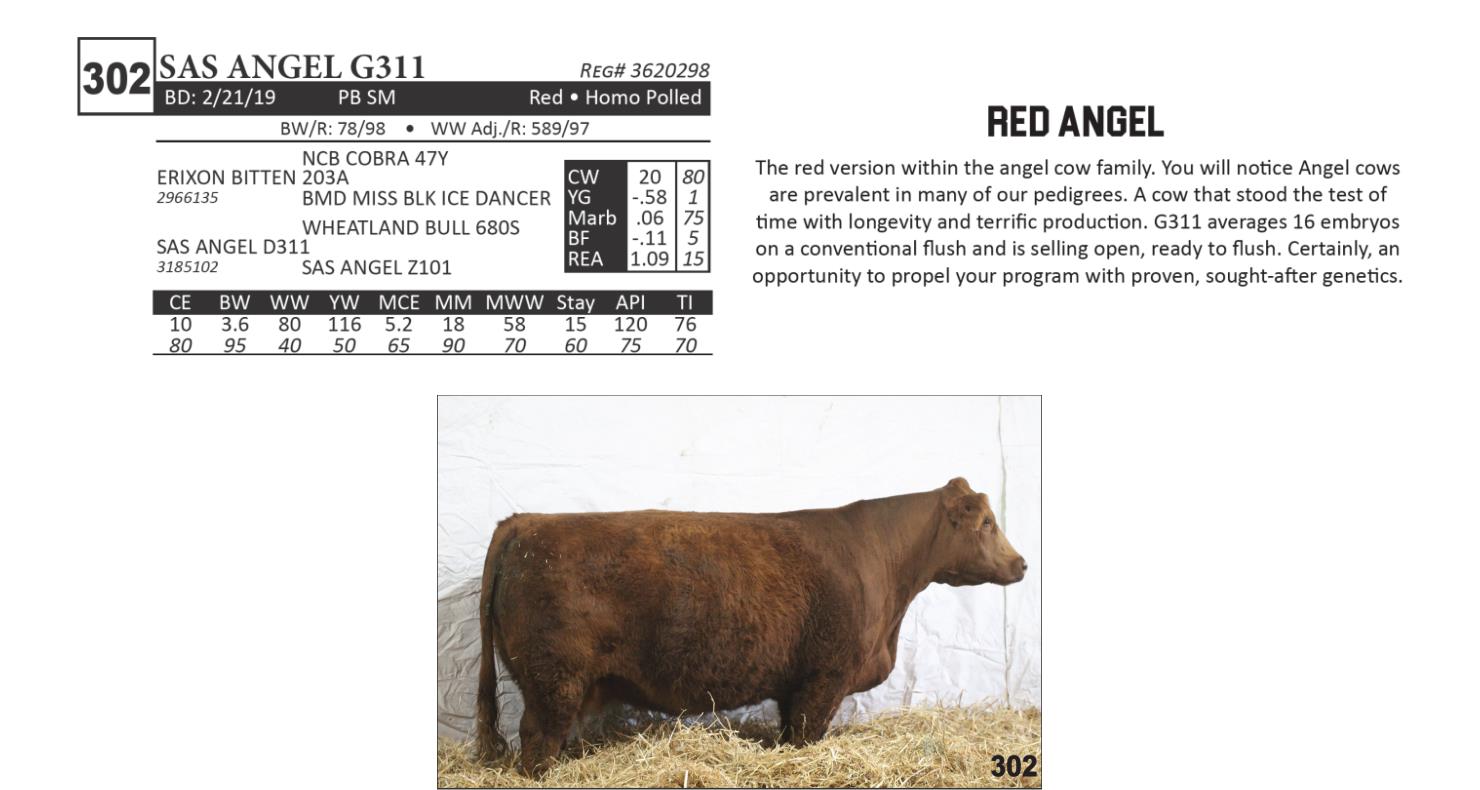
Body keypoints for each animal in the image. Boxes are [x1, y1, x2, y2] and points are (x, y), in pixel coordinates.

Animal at [474, 477, 1027, 776]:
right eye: (986, 522)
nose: (1022, 564)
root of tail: (524, 522)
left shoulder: (795, 685)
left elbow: (787, 732)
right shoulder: (824, 679)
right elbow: (806, 735)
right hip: (553, 680)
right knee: (536, 739)